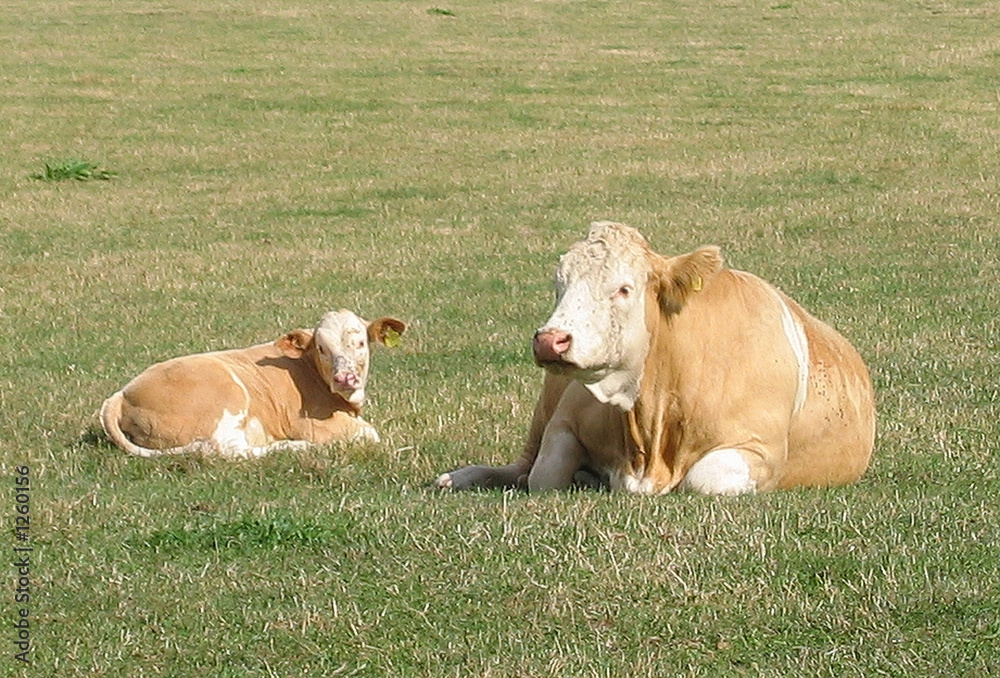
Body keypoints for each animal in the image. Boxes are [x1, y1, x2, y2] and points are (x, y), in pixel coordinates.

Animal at [101, 310, 406, 459]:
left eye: (361, 343)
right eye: (322, 348)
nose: (345, 378)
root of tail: (121, 394)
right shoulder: (311, 423)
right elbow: (370, 434)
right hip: (227, 398)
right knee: (229, 451)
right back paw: (296, 447)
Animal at [436, 221, 875, 495]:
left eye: (624, 289)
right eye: (559, 283)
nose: (550, 340)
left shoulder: (760, 451)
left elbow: (705, 478)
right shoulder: (562, 422)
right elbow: (545, 474)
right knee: (521, 468)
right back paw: (458, 477)